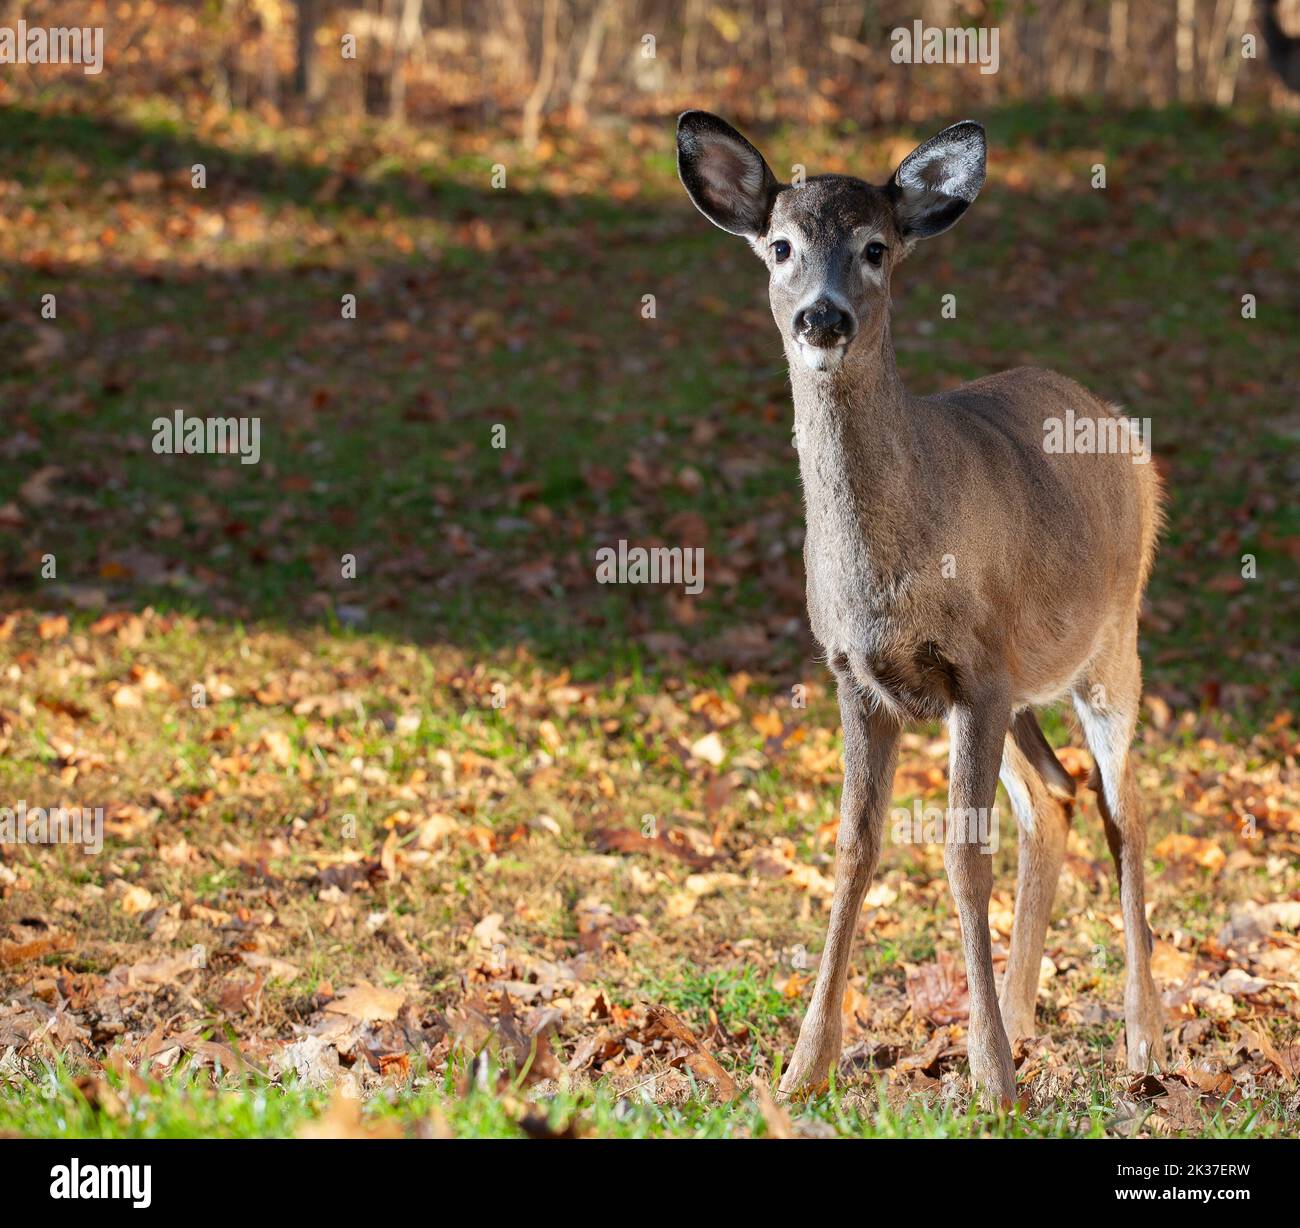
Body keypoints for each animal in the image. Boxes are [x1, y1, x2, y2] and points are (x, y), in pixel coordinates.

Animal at [675, 111, 1165, 1104]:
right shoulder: (860, 677)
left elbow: (960, 858)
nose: (823, 317)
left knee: (1124, 811)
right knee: (1053, 800)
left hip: (1110, 646)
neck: (890, 574)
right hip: (1020, 685)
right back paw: (1023, 1016)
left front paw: (992, 1079)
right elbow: (854, 852)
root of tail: (1122, 431)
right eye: (780, 246)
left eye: (876, 247)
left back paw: (1141, 1042)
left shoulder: (975, 673)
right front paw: (804, 1068)